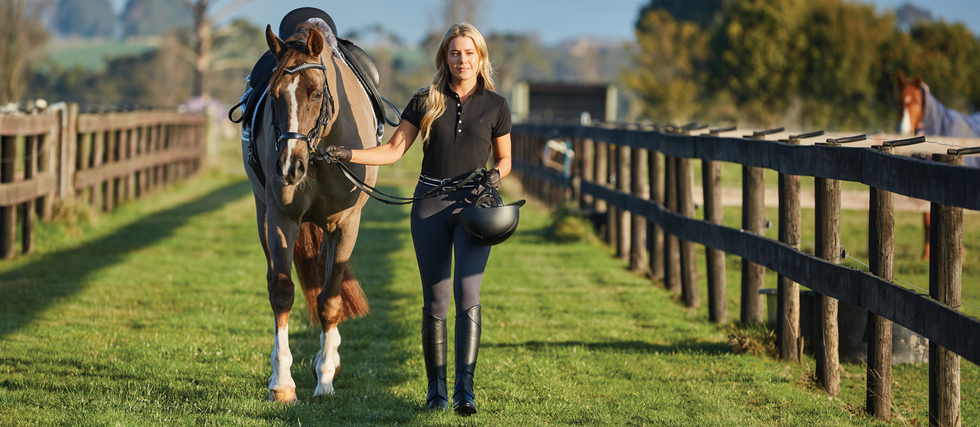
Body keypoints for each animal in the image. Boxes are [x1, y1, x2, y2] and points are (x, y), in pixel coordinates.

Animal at [243, 21, 377, 403]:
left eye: (316, 93)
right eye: (273, 96)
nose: (290, 166)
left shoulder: (345, 226)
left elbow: (330, 299)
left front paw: (326, 378)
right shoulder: (281, 220)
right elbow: (281, 291)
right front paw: (282, 383)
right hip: (263, 216)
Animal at [896, 71, 980, 259]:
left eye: (917, 101)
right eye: (898, 101)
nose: (903, 130)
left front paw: (960, 252)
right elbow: (927, 219)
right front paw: (926, 254)